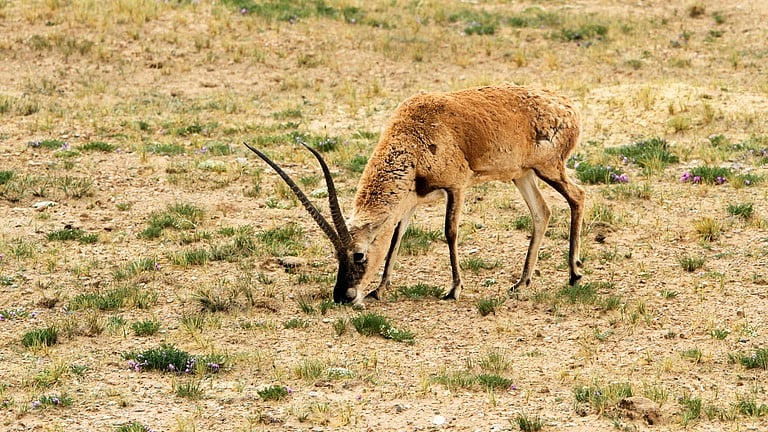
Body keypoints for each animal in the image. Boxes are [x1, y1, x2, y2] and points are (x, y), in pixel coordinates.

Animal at [246, 84, 585, 305]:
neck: (414, 134)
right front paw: (380, 289)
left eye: (358, 254)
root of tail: (567, 106)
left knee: (577, 196)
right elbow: (397, 237)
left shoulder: (456, 187)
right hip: (523, 174)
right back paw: (521, 282)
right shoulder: (410, 203)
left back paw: (574, 274)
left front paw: (454, 289)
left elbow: (450, 232)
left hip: (549, 168)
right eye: (335, 255)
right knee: (542, 212)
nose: (343, 296)